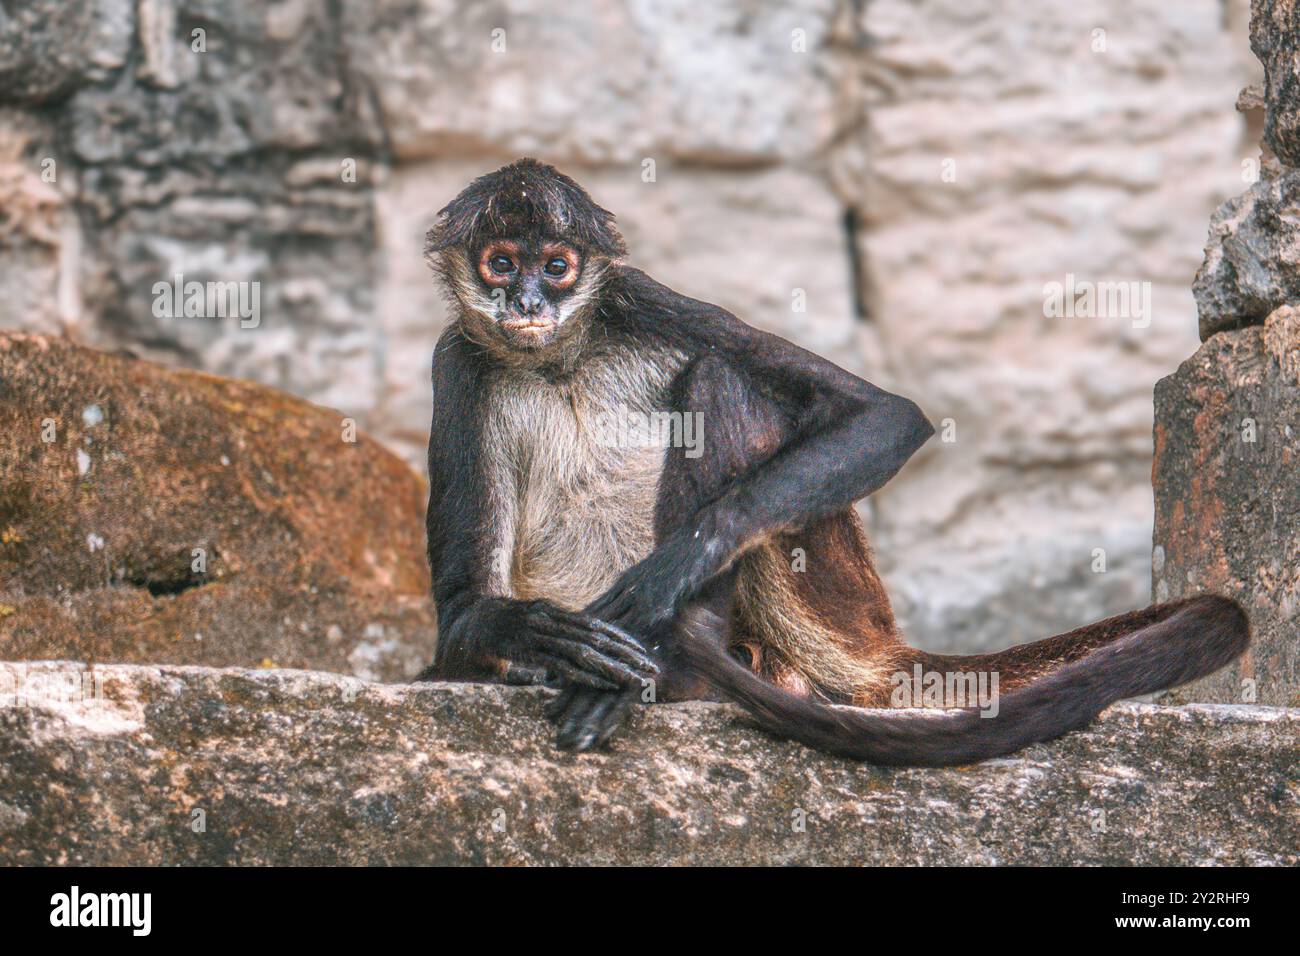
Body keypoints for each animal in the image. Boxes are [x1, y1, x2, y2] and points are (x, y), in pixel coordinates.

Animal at [416, 157, 1250, 767]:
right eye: (500, 264)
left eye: (557, 266)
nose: (529, 302)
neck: (559, 359)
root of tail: (881, 643)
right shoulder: (454, 361)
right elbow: (460, 614)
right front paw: (535, 636)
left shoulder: (639, 298)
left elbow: (884, 415)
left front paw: (661, 584)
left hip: (835, 602)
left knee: (721, 374)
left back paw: (677, 663)